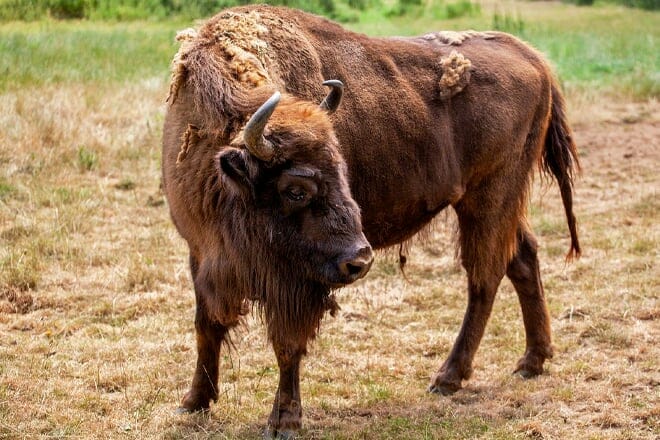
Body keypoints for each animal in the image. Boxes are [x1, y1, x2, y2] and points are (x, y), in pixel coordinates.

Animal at [162, 5, 580, 436]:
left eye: (343, 171)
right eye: (295, 189)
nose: (359, 260)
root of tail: (533, 58)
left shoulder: (295, 284)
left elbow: (287, 345)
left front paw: (284, 421)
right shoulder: (201, 255)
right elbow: (206, 327)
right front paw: (192, 403)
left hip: (487, 200)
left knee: (484, 277)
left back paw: (447, 378)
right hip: (500, 205)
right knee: (523, 258)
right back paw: (532, 361)